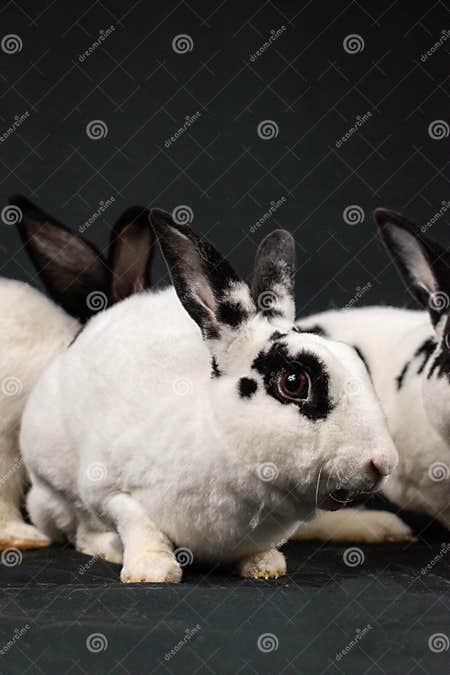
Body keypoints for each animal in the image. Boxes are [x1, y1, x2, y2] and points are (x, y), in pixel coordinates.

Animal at [19, 209, 399, 583]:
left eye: (355, 358)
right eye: (293, 382)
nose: (383, 462)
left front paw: (264, 566)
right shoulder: (107, 489)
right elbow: (137, 523)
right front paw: (152, 570)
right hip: (51, 493)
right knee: (78, 528)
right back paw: (109, 547)